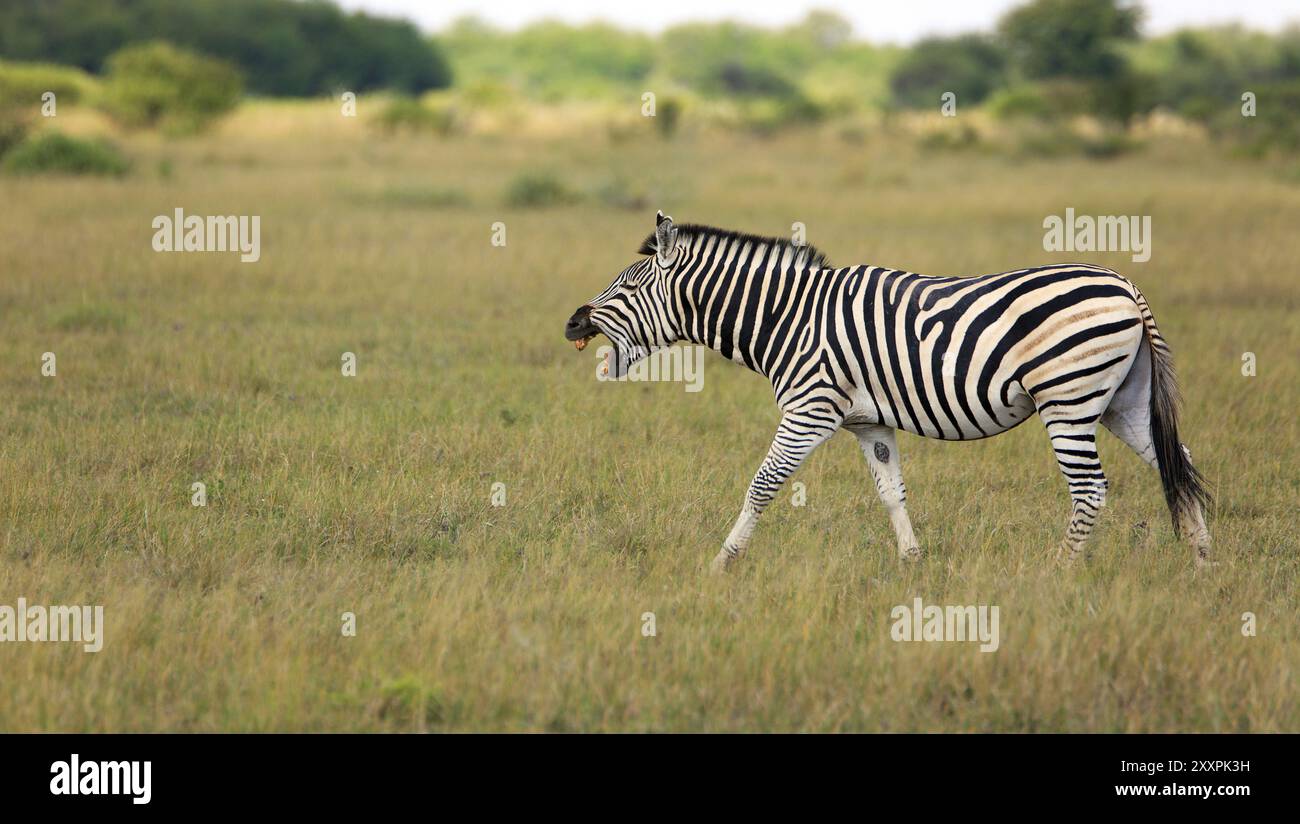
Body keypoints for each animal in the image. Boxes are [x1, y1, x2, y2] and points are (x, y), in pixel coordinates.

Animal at [564, 212, 1211, 571]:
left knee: (1091, 489)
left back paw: (1058, 572)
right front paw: (912, 564)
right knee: (1178, 464)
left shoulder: (810, 410)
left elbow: (762, 486)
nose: (573, 322)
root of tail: (1125, 285)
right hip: (1122, 403)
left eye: (629, 284)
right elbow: (891, 493)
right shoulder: (868, 422)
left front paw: (720, 564)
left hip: (1068, 402)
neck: (787, 316)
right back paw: (1204, 567)